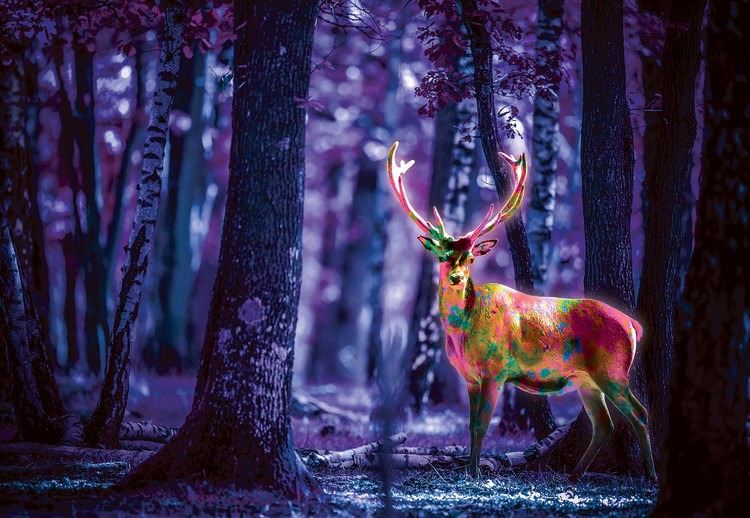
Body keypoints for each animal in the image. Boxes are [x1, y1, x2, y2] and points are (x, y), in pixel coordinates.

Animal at [387, 141, 656, 483]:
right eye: (443, 256)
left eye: (471, 258)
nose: (457, 277)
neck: (464, 331)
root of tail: (633, 323)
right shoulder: (470, 378)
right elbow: (470, 426)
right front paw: (470, 469)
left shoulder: (495, 370)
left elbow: (481, 426)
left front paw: (474, 473)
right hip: (587, 380)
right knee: (604, 423)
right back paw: (574, 474)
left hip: (613, 370)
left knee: (641, 413)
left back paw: (650, 475)